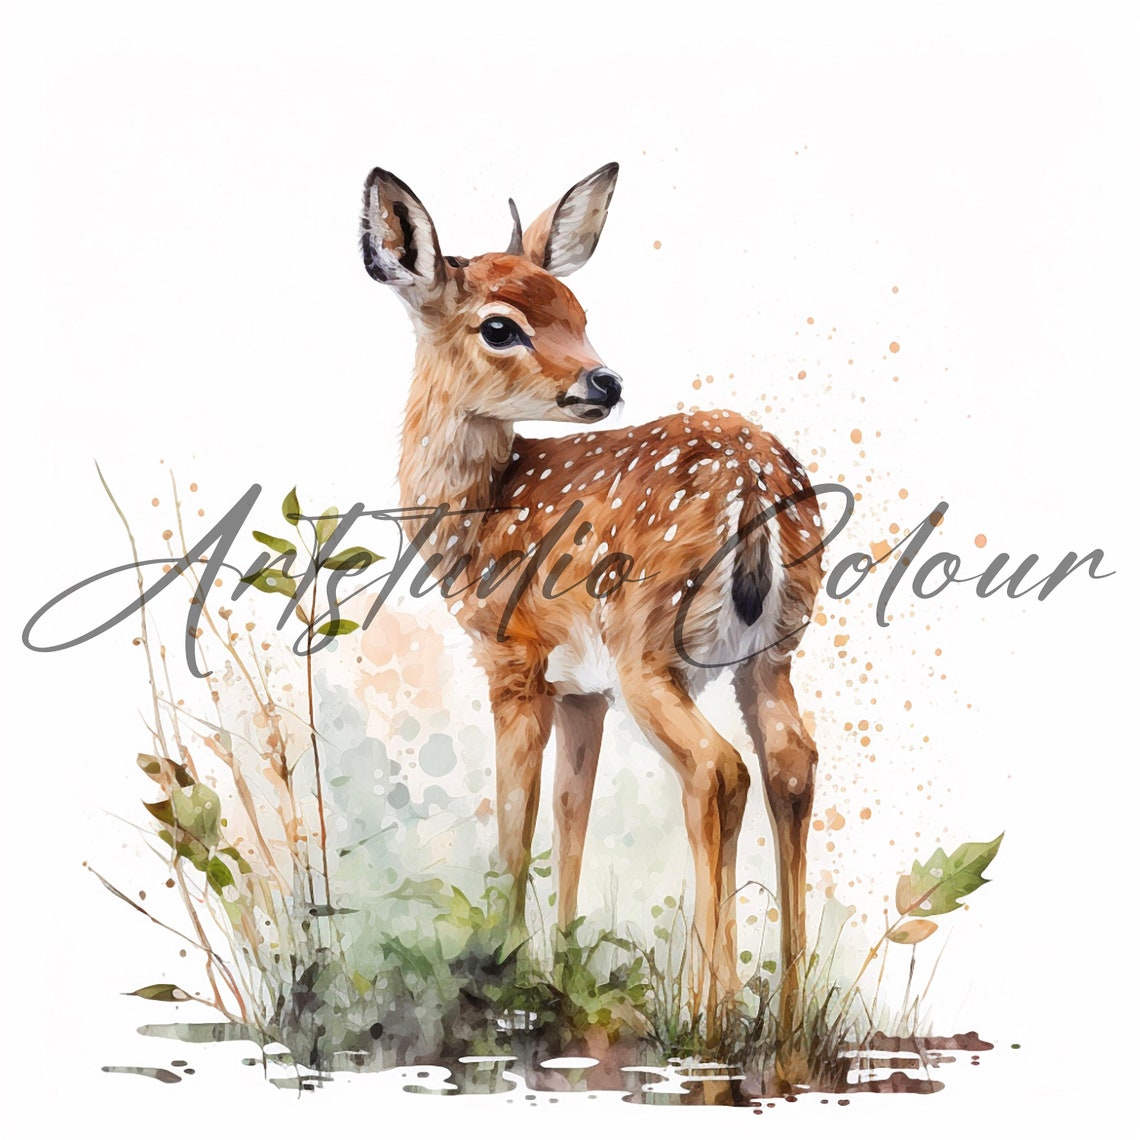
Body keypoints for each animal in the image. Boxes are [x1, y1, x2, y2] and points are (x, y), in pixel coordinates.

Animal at [360, 163, 824, 1071]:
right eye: (501, 326)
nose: (603, 381)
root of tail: (755, 484)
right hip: (774, 650)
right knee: (791, 764)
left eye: (578, 313)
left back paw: (710, 1019)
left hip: (653, 643)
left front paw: (499, 978)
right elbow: (572, 814)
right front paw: (562, 975)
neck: (478, 511)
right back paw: (786, 1029)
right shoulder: (584, 689)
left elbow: (516, 821)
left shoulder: (514, 658)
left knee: (717, 771)